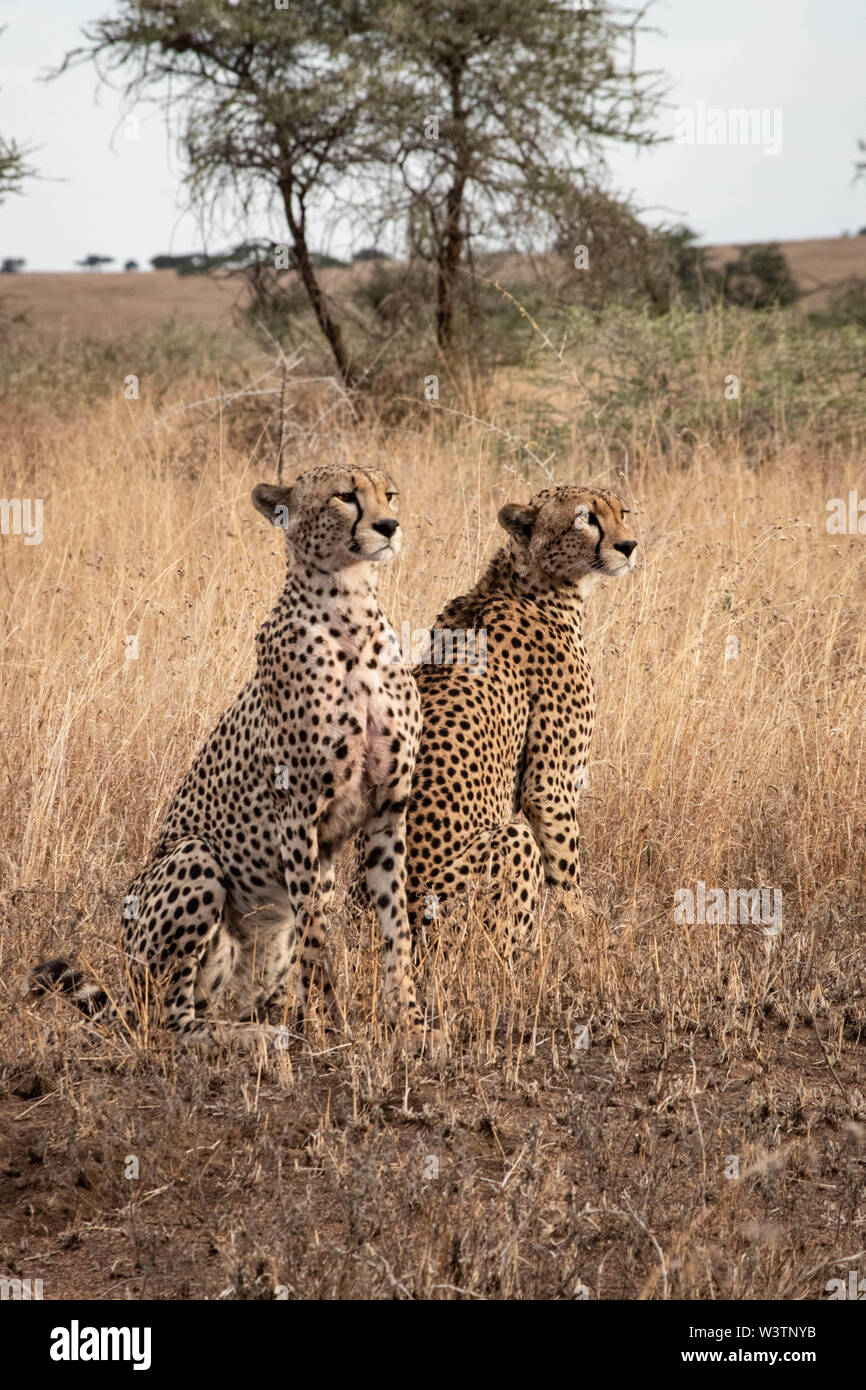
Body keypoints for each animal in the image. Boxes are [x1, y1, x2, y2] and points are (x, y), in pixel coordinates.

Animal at [28, 464, 428, 1046]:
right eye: (345, 496)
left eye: (389, 494)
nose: (389, 526)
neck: (350, 608)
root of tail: (131, 996)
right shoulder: (298, 810)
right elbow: (317, 936)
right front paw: (331, 1030)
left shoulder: (387, 807)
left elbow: (396, 926)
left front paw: (415, 1026)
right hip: (193, 860)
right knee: (173, 1023)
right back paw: (256, 1037)